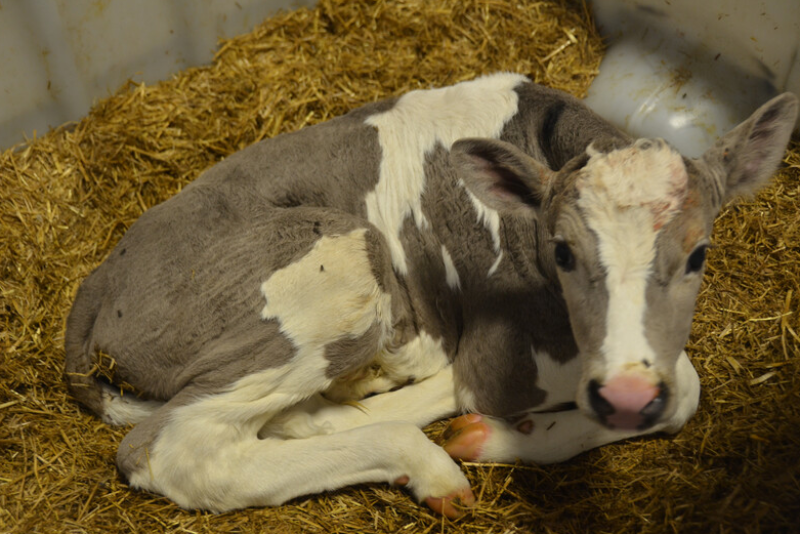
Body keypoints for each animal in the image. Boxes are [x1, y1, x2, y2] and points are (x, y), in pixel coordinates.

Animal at [65, 73, 797, 518]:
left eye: (699, 253)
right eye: (562, 251)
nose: (625, 393)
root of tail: (101, 277)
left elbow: (680, 388)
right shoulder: (513, 353)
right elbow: (687, 385)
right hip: (337, 264)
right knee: (177, 448)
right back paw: (427, 460)